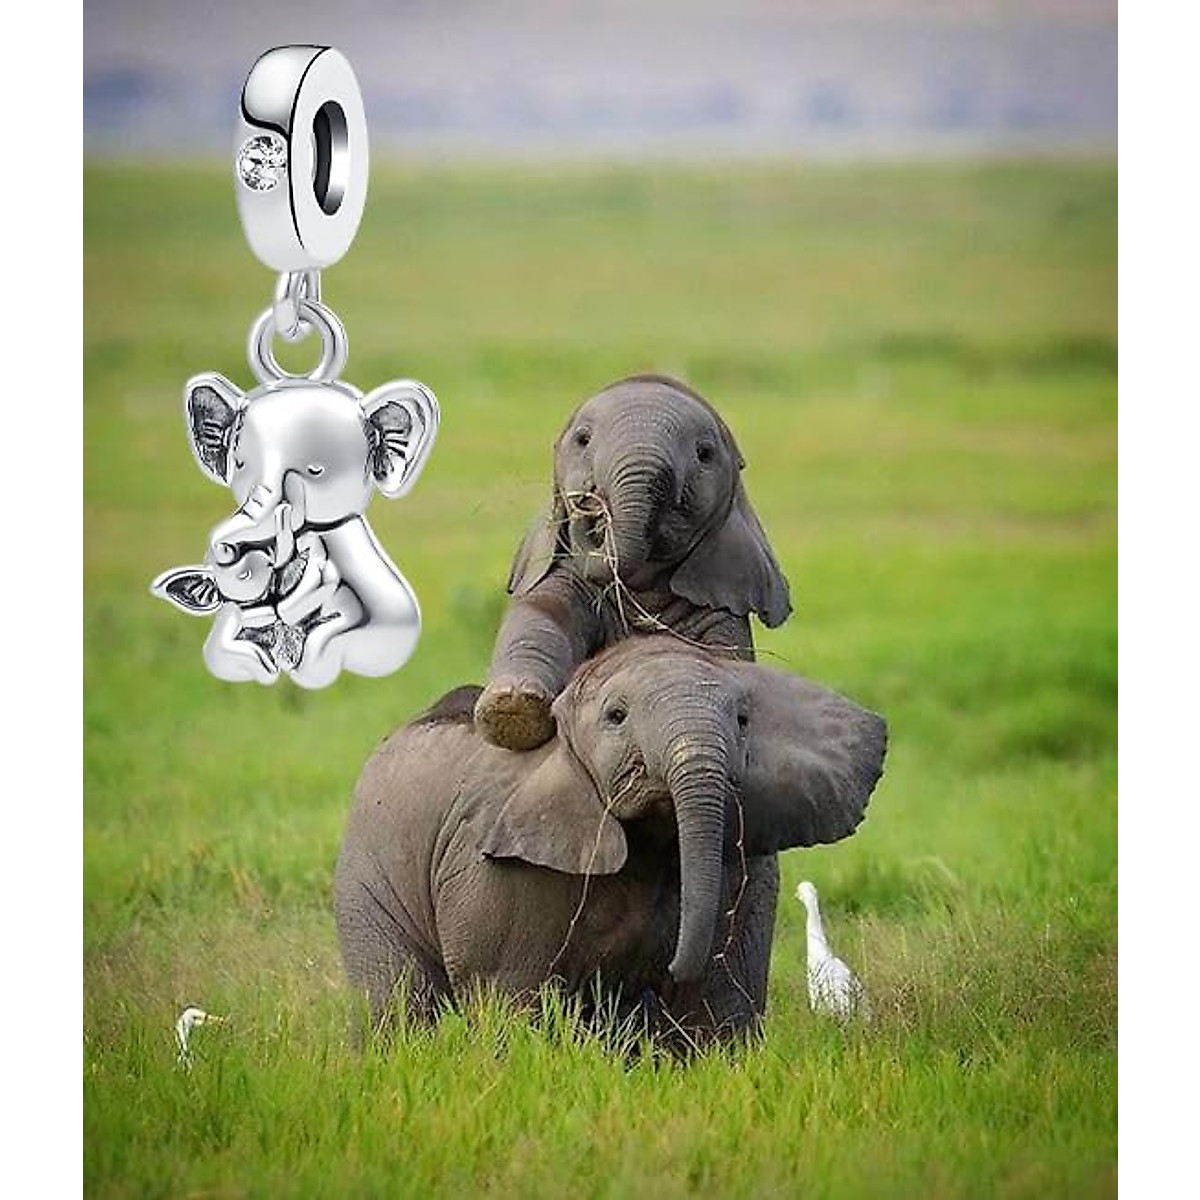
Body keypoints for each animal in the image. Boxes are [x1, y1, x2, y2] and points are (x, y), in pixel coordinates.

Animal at [334, 638, 886, 1050]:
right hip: (367, 872)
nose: (670, 966)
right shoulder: (500, 869)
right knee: (398, 1000)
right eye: (616, 716)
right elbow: (510, 994)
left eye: (744, 721)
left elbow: (720, 996)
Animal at [474, 374, 791, 752]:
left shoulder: (720, 605)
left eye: (704, 454)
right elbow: (541, 617)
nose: (587, 502)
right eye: (582, 439)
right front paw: (513, 709)